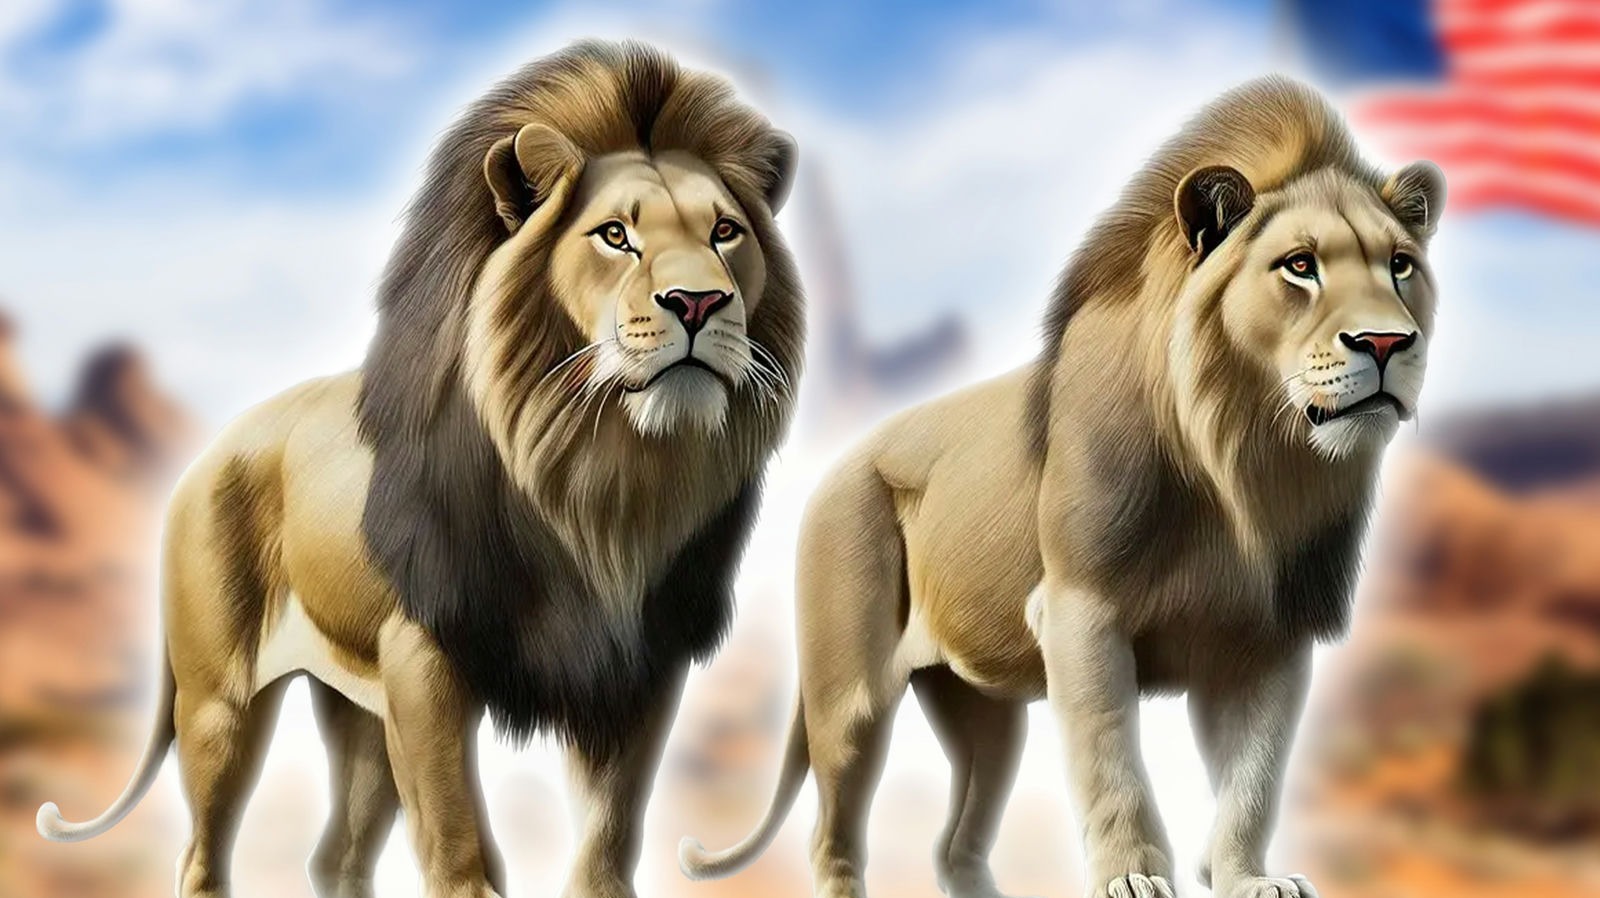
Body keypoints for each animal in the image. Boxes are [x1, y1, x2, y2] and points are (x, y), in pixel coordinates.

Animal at [36, 40, 803, 898]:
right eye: (614, 235)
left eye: (726, 231)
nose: (699, 302)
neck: (601, 480)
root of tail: (206, 456)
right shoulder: (424, 656)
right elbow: (456, 835)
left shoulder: (638, 664)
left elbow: (608, 835)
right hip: (219, 704)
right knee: (201, 852)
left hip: (361, 710)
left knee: (336, 854)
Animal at [681, 77, 1444, 898]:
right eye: (1299, 265)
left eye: (1400, 266)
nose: (1387, 342)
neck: (1246, 458)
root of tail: (835, 469)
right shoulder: (1082, 611)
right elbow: (1111, 759)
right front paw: (1133, 878)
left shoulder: (1269, 638)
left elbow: (1255, 780)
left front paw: (1247, 879)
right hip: (848, 693)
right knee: (832, 831)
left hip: (986, 713)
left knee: (955, 843)